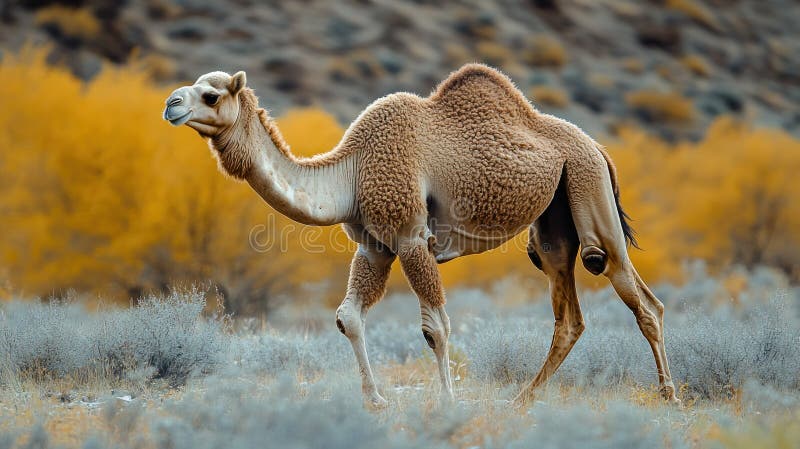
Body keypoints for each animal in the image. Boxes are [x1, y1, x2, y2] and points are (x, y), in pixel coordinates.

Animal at [162, 64, 680, 407]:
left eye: (211, 96)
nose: (171, 104)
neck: (352, 170)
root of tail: (599, 147)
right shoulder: (375, 244)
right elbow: (348, 317)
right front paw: (376, 402)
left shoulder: (412, 238)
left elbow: (436, 328)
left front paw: (447, 403)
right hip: (553, 226)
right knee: (569, 314)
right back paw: (524, 399)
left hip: (589, 189)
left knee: (633, 291)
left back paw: (670, 395)